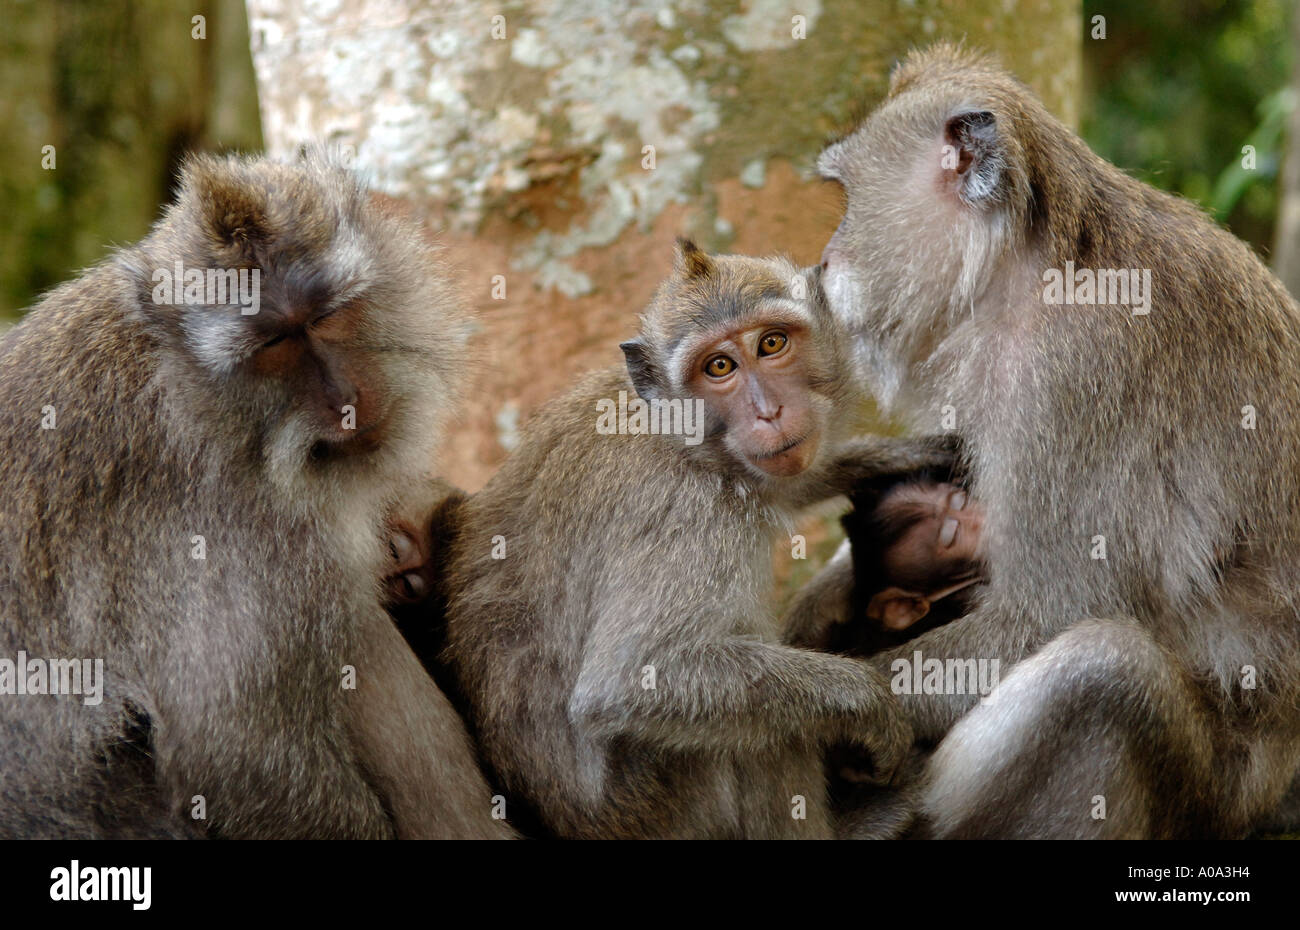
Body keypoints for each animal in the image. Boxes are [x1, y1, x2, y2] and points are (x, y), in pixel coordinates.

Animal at [434, 240, 954, 839]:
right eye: (719, 367)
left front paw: (898, 456)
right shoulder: (684, 514)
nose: (768, 412)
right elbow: (630, 680)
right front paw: (868, 703)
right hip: (666, 805)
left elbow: (792, 482)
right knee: (762, 727)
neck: (682, 438)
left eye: (771, 343)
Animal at [814, 42, 1300, 838]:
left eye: (848, 197)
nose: (821, 263)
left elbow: (1046, 616)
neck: (1031, 270)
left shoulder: (1074, 377)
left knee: (1106, 675)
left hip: (1213, 800)